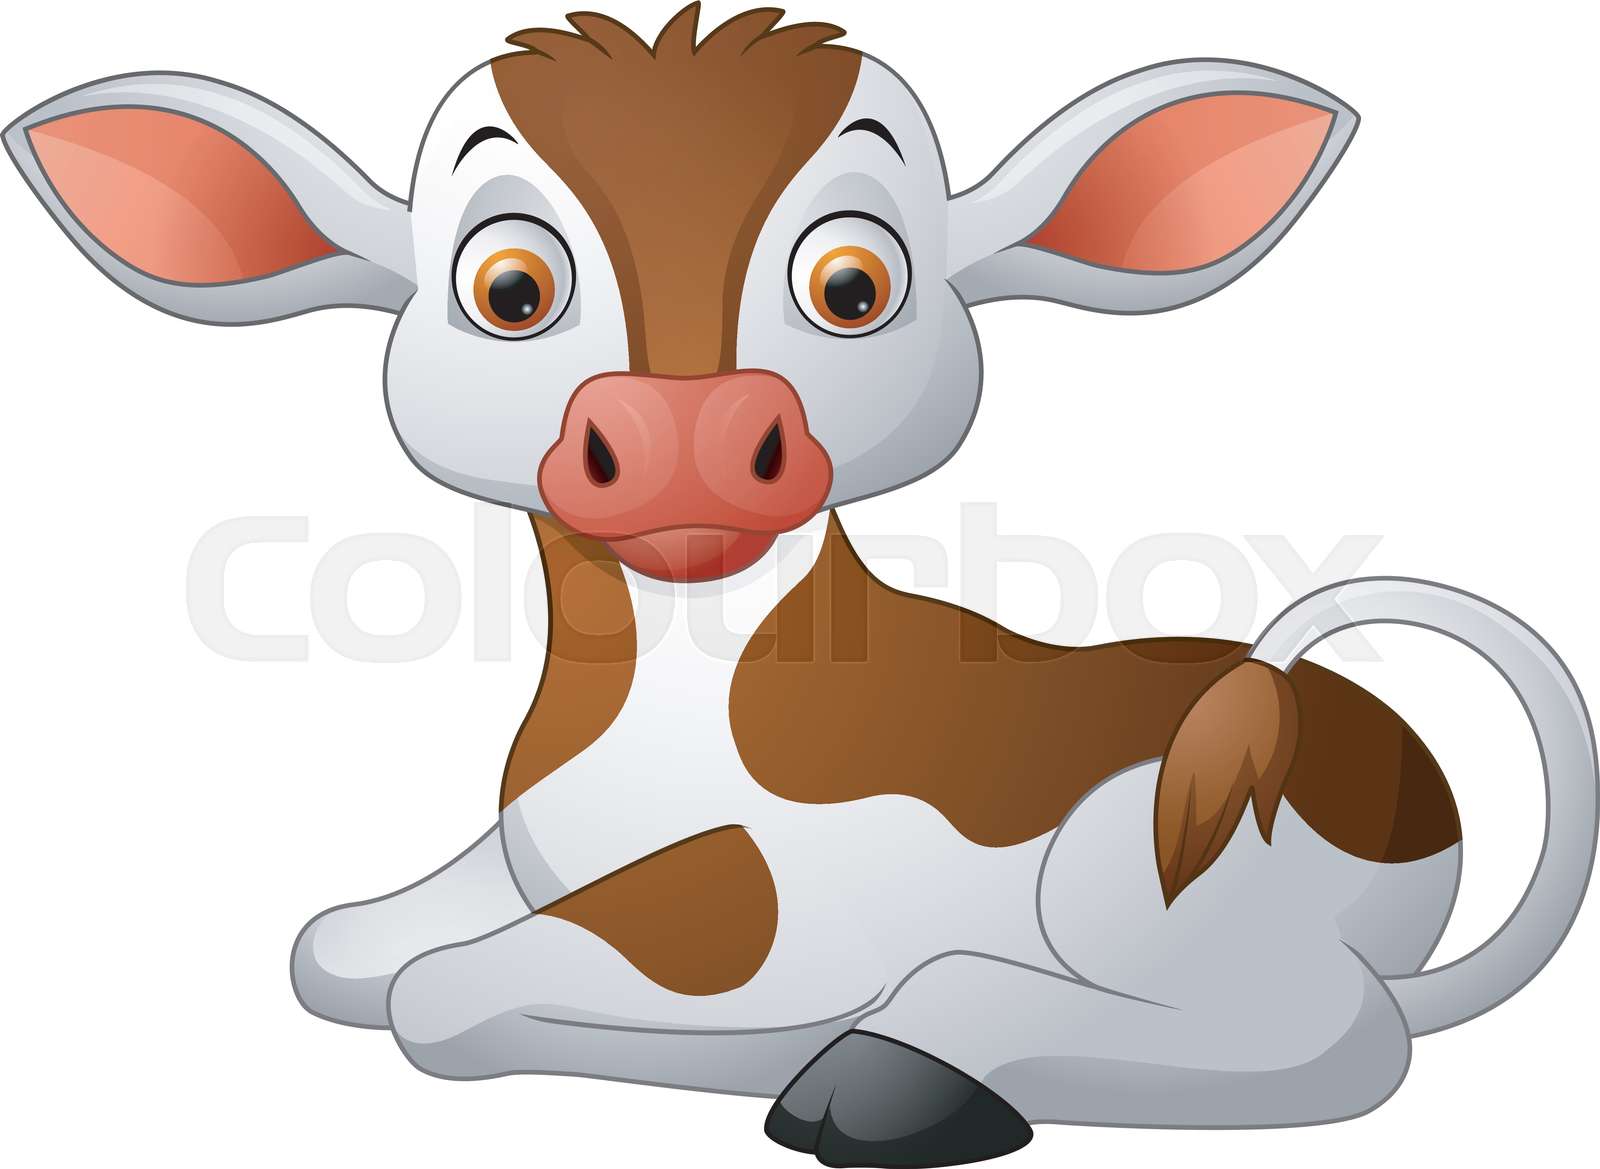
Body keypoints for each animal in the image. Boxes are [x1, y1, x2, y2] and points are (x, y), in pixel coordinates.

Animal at [8, 6, 1595, 1166]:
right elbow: (342, 951)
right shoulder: (512, 855)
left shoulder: (751, 914)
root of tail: (1395, 763)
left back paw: (896, 1066)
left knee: (1337, 1038)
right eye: (508, 286)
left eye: (852, 284)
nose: (687, 432)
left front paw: (760, 1045)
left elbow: (441, 995)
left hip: (1147, 861)